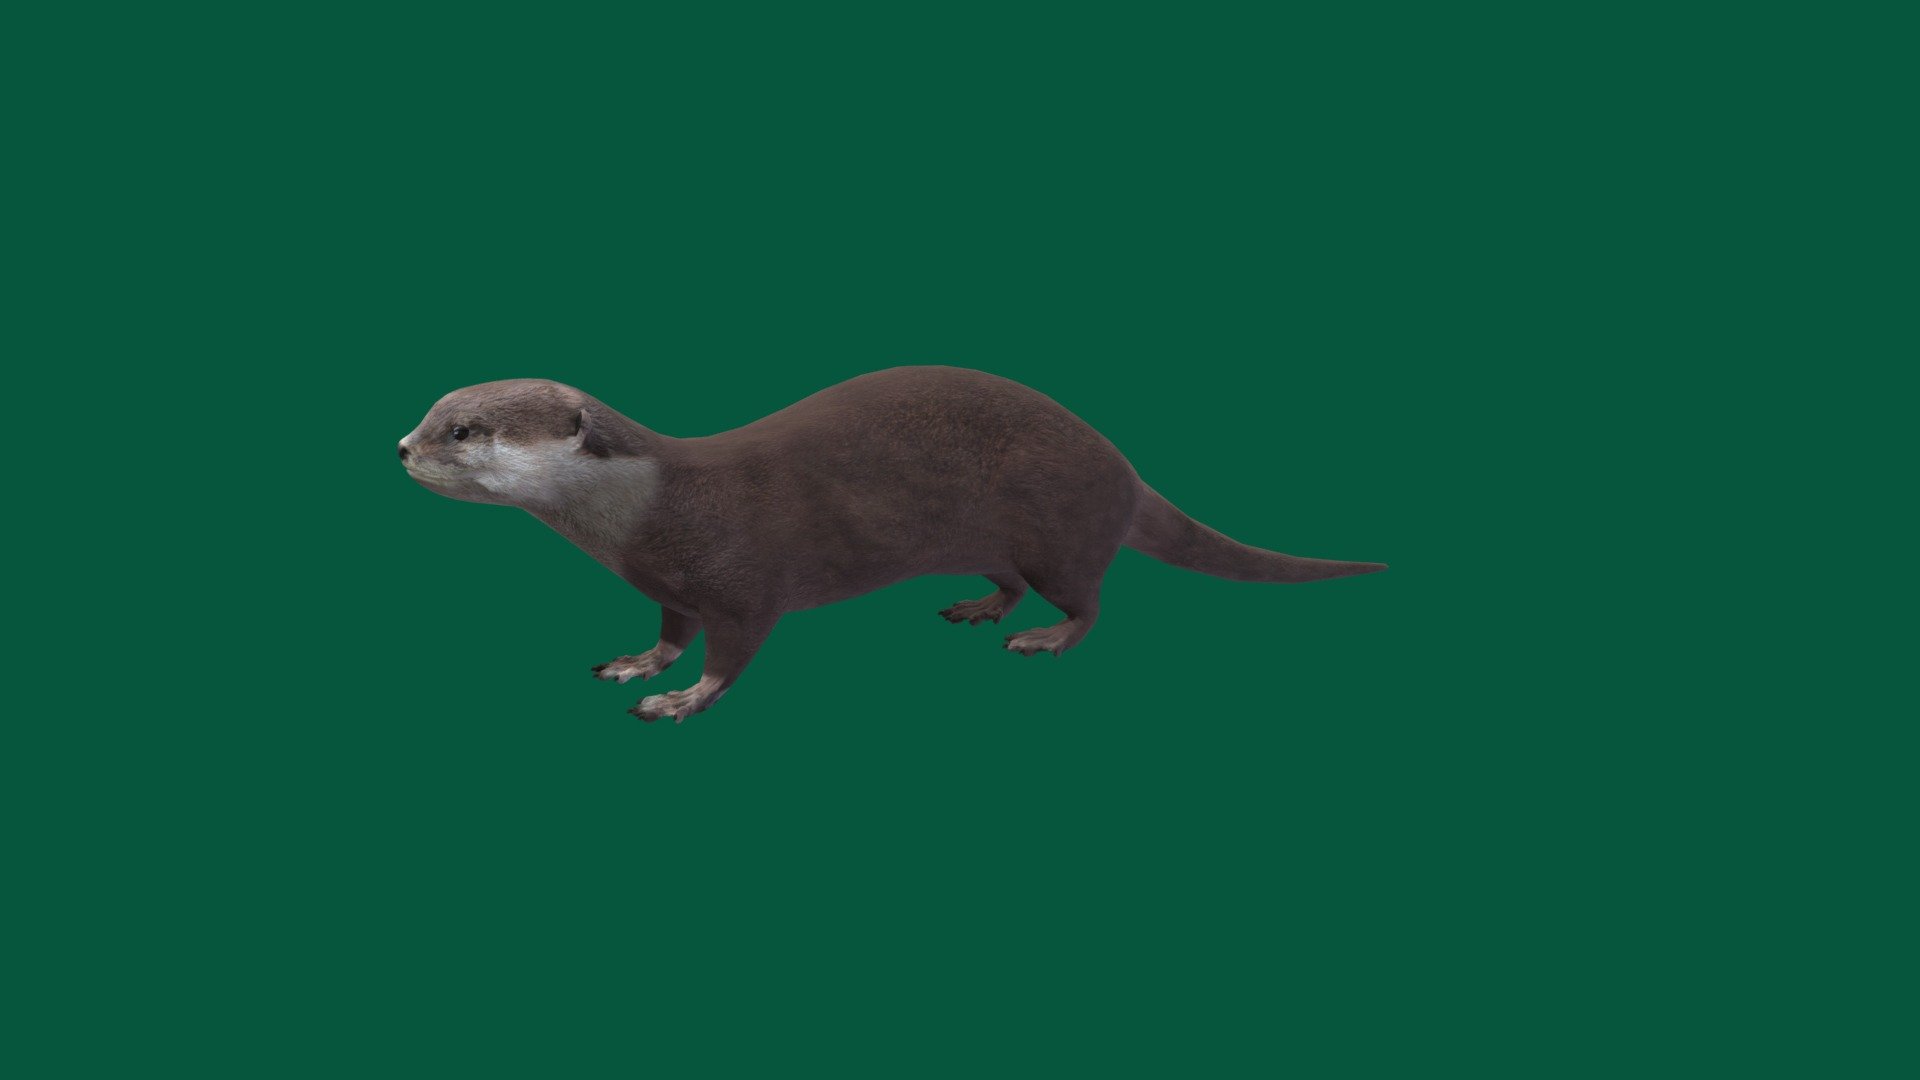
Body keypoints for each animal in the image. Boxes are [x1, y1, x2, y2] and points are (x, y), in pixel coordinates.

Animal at [399, 367, 1384, 722]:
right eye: (433, 411)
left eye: (466, 430)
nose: (401, 447)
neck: (651, 512)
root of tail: (1128, 473)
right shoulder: (670, 585)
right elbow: (671, 631)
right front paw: (641, 662)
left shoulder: (742, 580)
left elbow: (733, 651)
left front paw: (682, 698)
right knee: (1013, 579)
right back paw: (980, 607)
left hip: (1060, 533)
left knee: (1094, 601)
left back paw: (1042, 638)